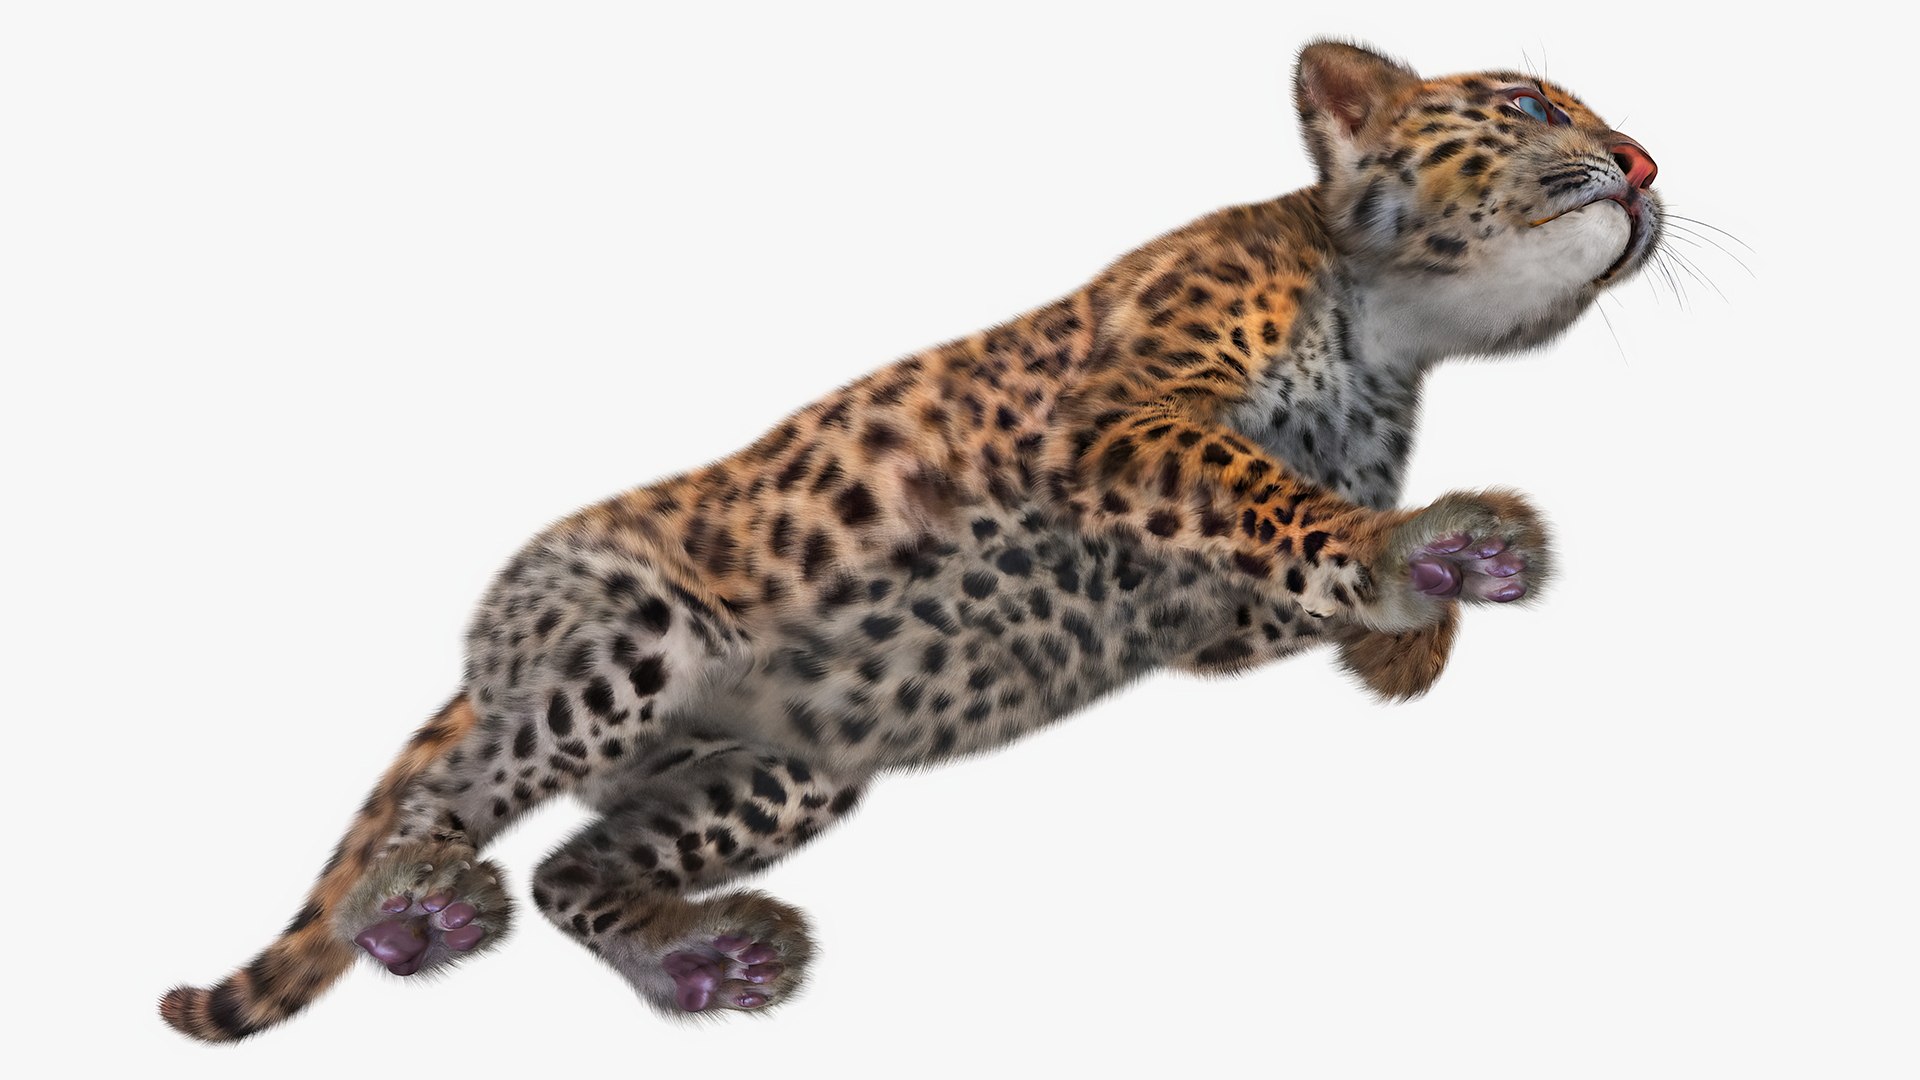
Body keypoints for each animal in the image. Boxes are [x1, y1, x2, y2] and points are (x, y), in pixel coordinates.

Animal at [160, 39, 1663, 1040]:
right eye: (1531, 104)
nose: (1649, 166)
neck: (1395, 331)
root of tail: (493, 645)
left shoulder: (1203, 618)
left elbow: (1298, 569)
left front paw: (1423, 601)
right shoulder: (1121, 419)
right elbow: (1260, 490)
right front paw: (1422, 555)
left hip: (790, 768)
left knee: (569, 869)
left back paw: (696, 964)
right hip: (621, 628)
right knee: (447, 795)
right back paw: (414, 903)